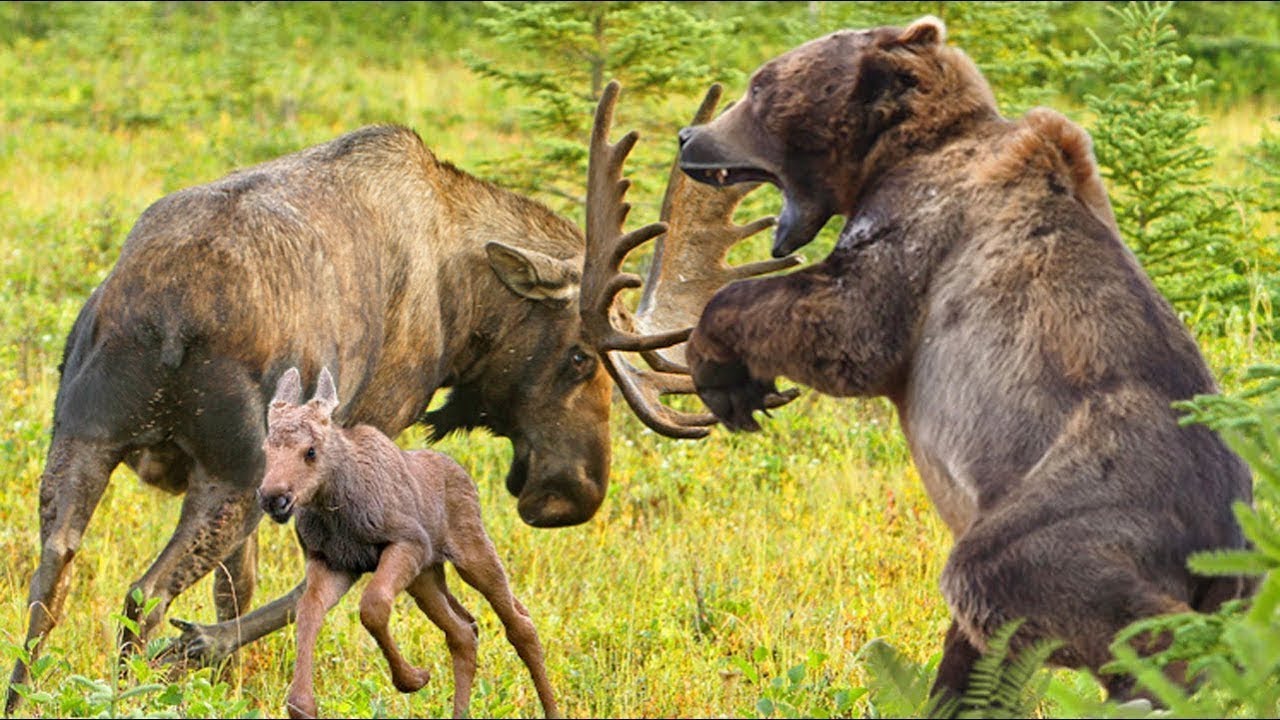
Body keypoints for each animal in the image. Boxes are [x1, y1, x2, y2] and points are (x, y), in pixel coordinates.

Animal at [7, 81, 799, 714]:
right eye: (579, 357)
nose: (573, 497)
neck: (460, 299)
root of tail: (166, 315)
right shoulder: (365, 428)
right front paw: (199, 656)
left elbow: (246, 583)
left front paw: (225, 682)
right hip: (229, 470)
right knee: (144, 593)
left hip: (82, 436)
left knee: (53, 574)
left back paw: (30, 694)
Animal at [676, 15, 1255, 710]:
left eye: (760, 85)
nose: (688, 136)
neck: (896, 150)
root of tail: (1225, 540)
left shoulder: (923, 227)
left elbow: (850, 327)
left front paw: (723, 375)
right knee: (988, 636)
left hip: (1090, 487)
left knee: (1005, 573)